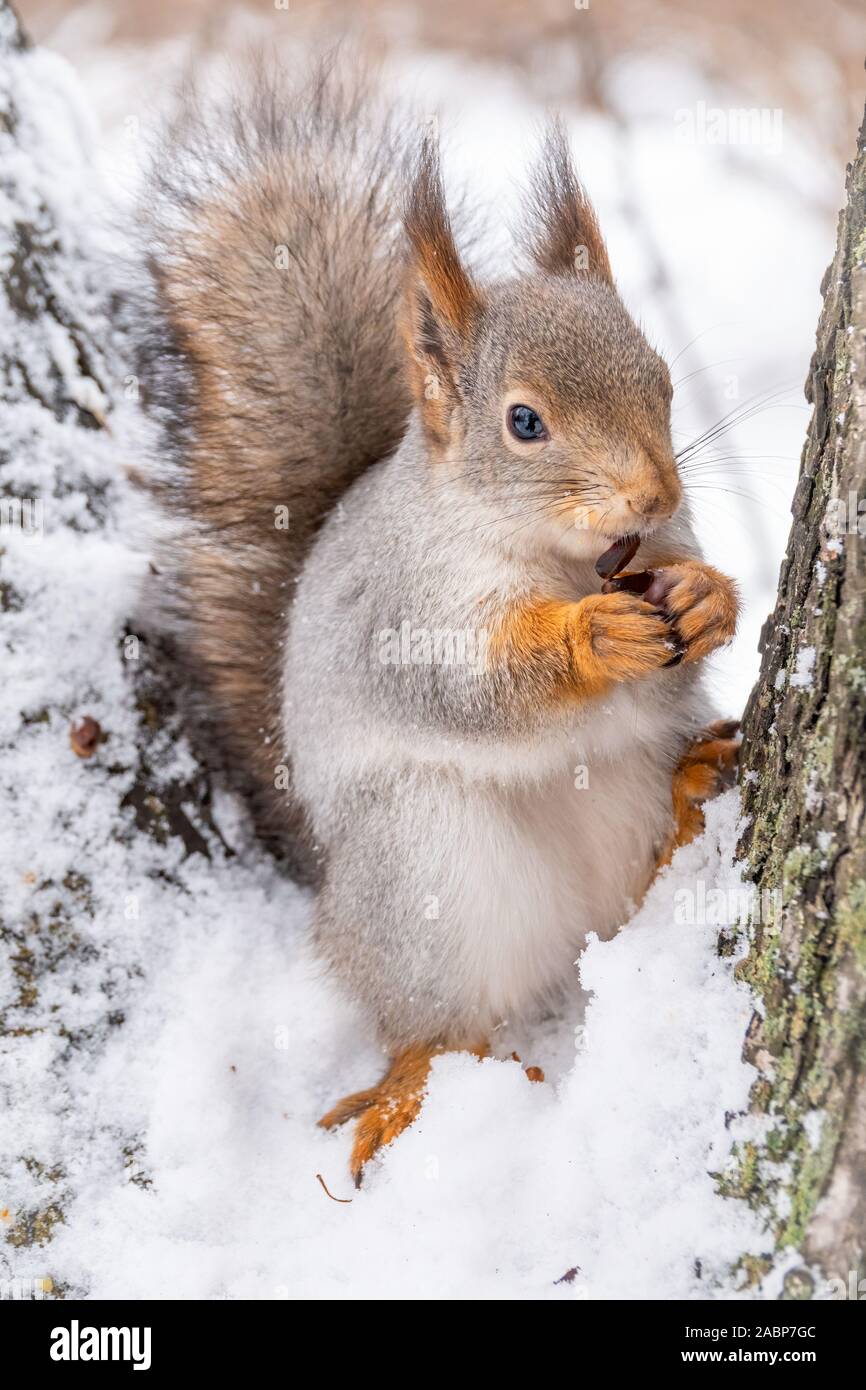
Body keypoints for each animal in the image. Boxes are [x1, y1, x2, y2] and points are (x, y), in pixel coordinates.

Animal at [139, 55, 740, 1185]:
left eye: (661, 382)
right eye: (523, 422)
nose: (648, 498)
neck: (559, 558)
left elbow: (682, 642)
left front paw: (704, 595)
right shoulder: (403, 613)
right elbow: (470, 688)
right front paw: (588, 640)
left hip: (614, 802)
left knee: (632, 895)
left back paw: (687, 797)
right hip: (427, 868)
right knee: (434, 1015)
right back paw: (412, 1086)